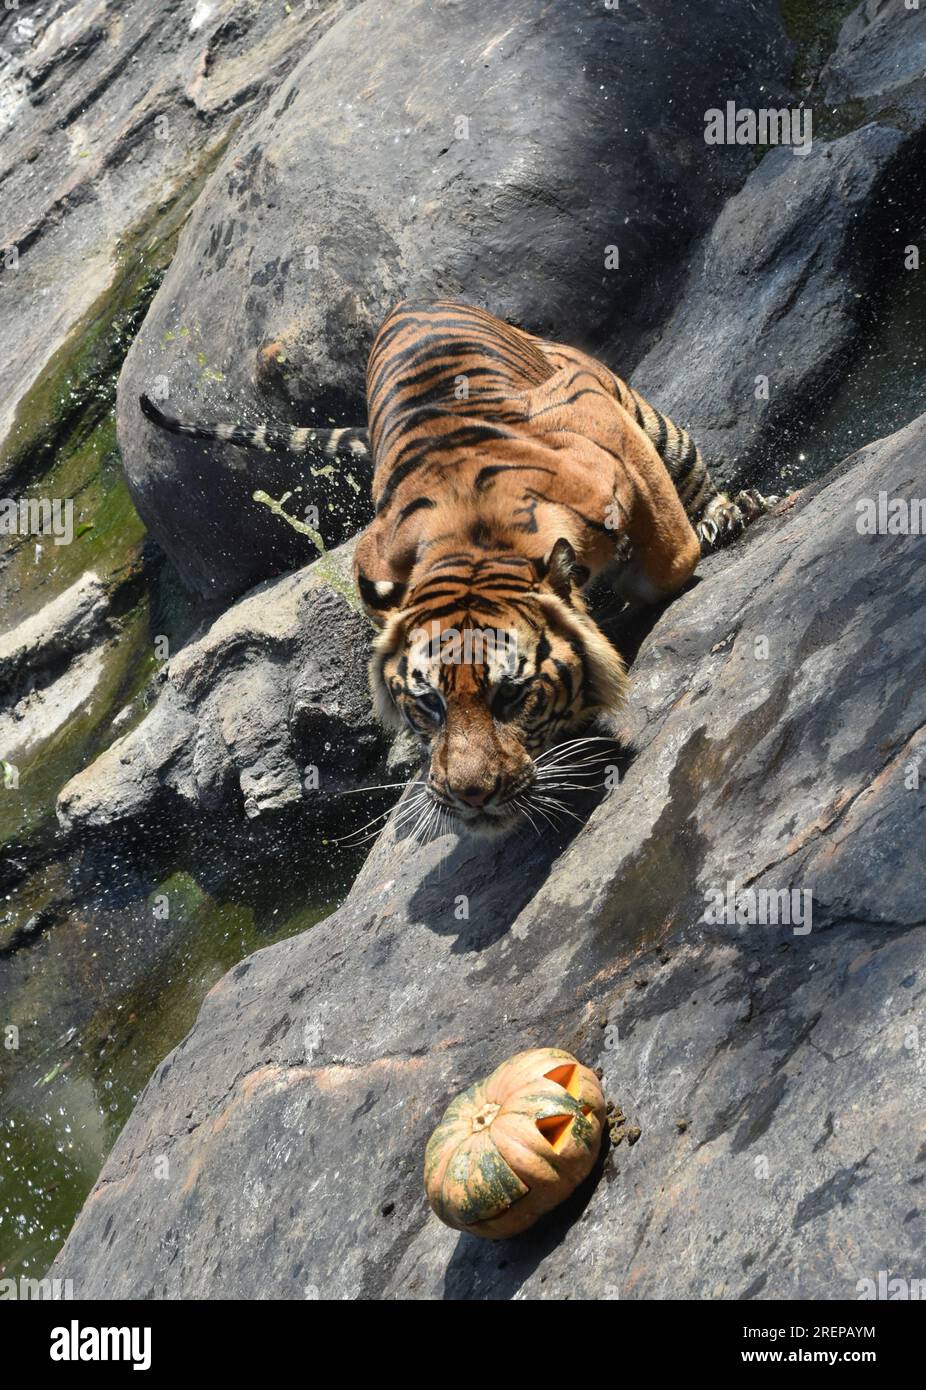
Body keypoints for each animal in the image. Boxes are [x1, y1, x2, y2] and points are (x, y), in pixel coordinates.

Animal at [140, 298, 776, 836]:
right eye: (429, 705)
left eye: (511, 696)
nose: (470, 796)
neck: (473, 538)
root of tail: (407, 304)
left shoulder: (595, 420)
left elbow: (668, 556)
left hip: (620, 398)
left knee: (687, 473)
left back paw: (728, 514)